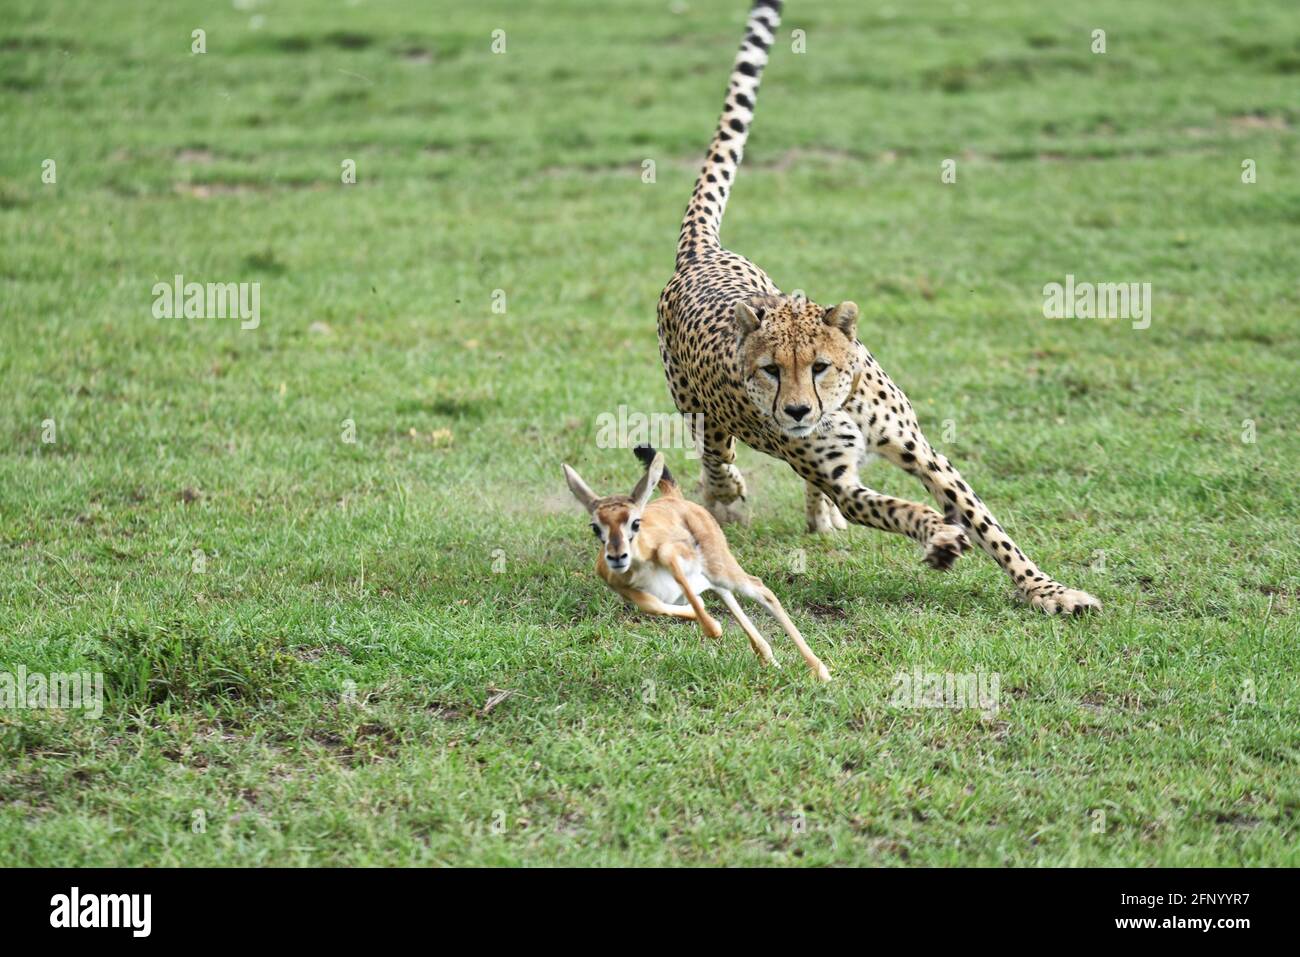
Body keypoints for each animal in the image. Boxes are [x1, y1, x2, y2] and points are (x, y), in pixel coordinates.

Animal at [562, 445, 831, 681]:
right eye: (596, 527)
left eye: (635, 523)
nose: (617, 556)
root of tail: (674, 499)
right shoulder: (618, 582)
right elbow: (654, 605)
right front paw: (703, 613)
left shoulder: (673, 554)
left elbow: (695, 603)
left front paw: (714, 625)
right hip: (713, 575)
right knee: (728, 595)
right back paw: (769, 659)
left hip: (718, 566)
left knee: (761, 590)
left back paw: (820, 672)